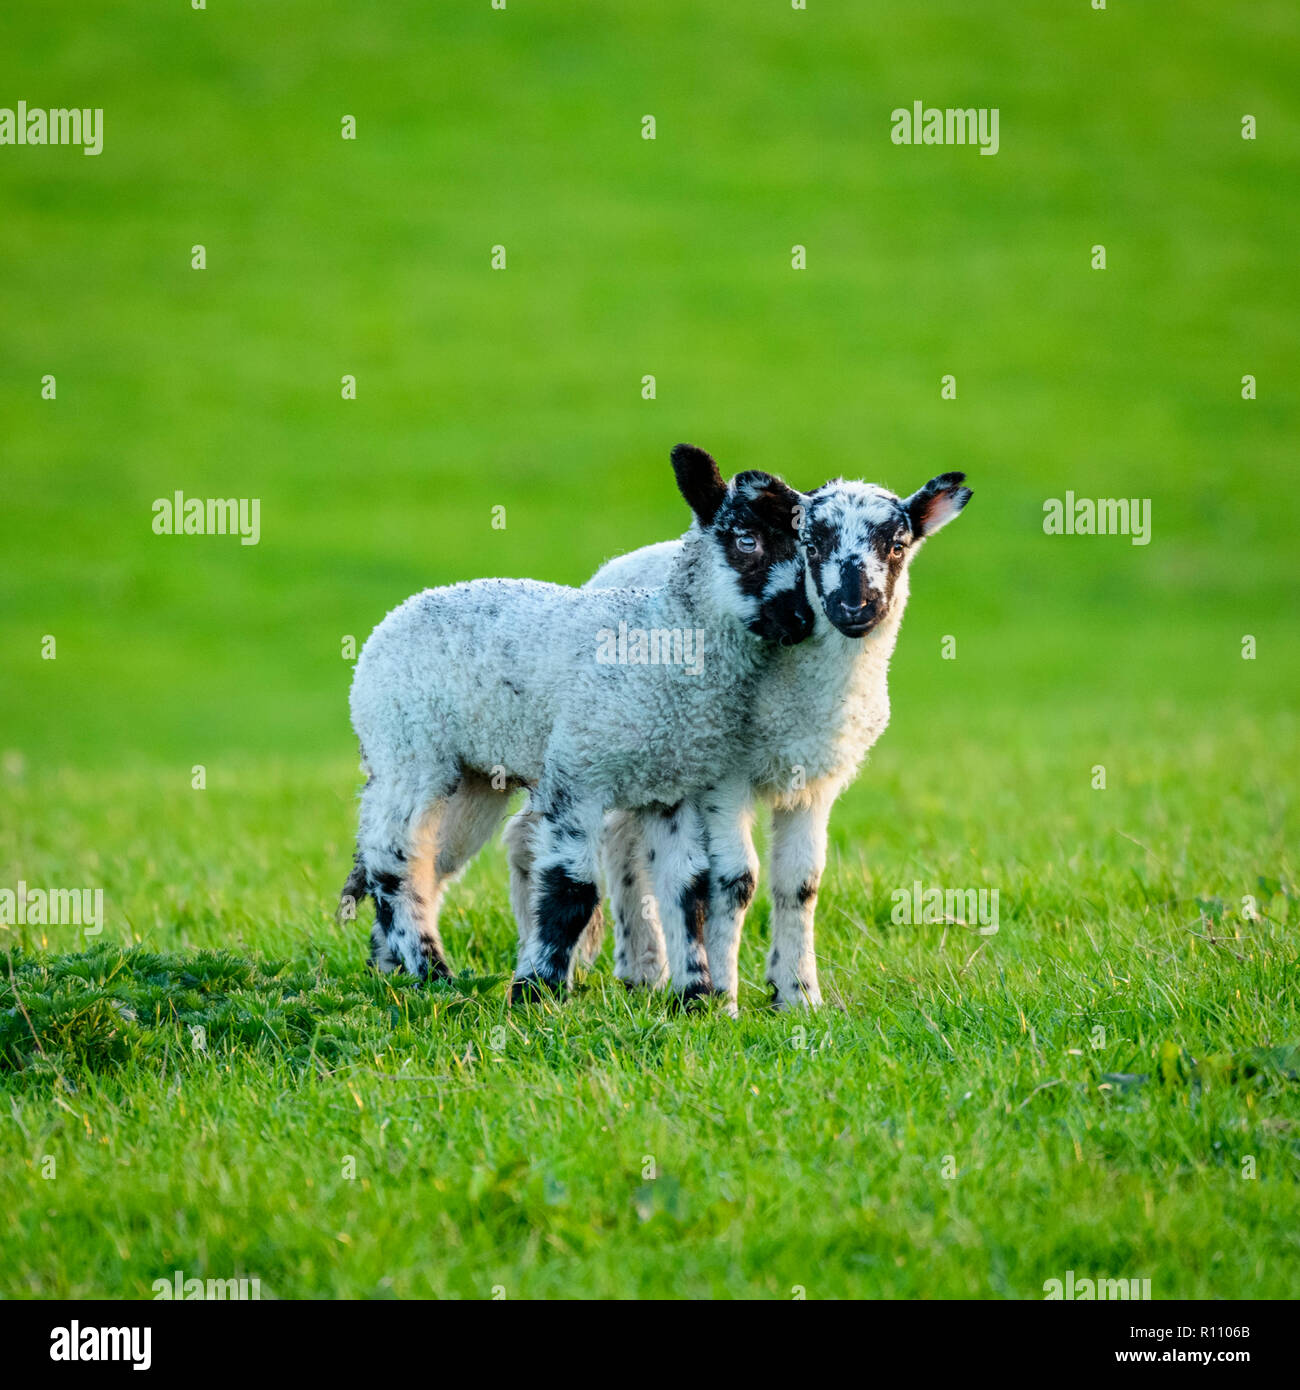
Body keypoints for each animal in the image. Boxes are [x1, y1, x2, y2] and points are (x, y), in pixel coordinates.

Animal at [342, 444, 815, 1003]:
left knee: (428, 863)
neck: (662, 639)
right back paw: (432, 972)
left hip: (473, 774)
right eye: (747, 541)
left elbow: (687, 889)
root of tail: (390, 621)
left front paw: (696, 996)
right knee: (392, 860)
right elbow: (572, 889)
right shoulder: (577, 773)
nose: (803, 619)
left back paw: (391, 968)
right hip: (407, 747)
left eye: (808, 548)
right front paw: (537, 991)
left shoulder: (672, 789)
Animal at [505, 470, 973, 1011]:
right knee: (532, 836)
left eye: (898, 546)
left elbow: (801, 883)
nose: (855, 607)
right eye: (813, 545)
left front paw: (798, 995)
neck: (806, 699)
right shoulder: (724, 779)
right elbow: (735, 881)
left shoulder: (815, 783)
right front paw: (722, 998)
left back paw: (643, 969)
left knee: (624, 845)